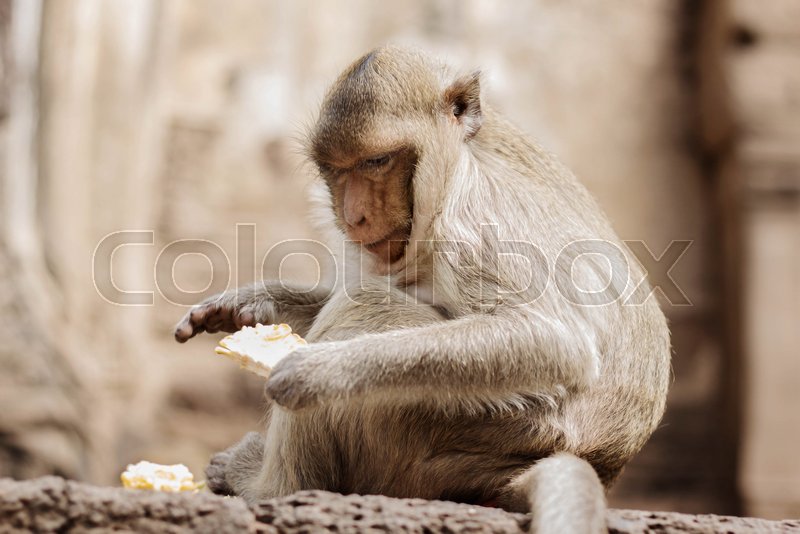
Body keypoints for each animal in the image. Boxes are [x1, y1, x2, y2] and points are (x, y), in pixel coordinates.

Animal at [174, 46, 670, 533]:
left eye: (376, 162)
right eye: (335, 170)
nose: (353, 216)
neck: (458, 165)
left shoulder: (472, 225)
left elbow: (553, 340)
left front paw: (316, 372)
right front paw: (253, 302)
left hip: (476, 425)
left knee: (361, 306)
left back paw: (267, 487)